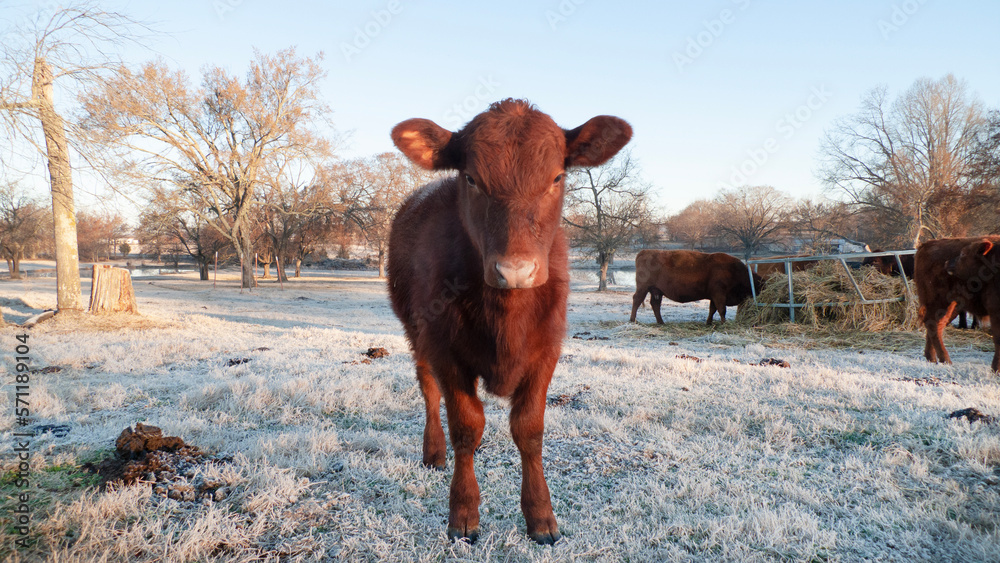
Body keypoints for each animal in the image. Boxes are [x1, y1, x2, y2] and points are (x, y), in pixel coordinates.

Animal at [387, 99, 631, 544]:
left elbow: (529, 430)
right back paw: (433, 452)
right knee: (429, 390)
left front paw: (541, 517)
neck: (506, 319)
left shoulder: (547, 349)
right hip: (414, 331)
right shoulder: (445, 349)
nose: (515, 270)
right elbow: (466, 426)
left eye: (557, 177)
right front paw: (463, 513)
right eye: (471, 178)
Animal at [629, 249, 763, 325]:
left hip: (656, 291)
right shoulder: (719, 295)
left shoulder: (714, 297)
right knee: (637, 300)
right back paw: (632, 320)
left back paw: (661, 322)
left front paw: (709, 323)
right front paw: (724, 323)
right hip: (643, 288)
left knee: (655, 304)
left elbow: (712, 309)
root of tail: (645, 251)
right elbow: (721, 310)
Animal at [915, 236, 1000, 370]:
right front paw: (995, 369)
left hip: (952, 306)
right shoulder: (995, 310)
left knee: (937, 324)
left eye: (963, 254)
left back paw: (932, 359)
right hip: (940, 302)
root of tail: (927, 244)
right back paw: (945, 360)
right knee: (934, 324)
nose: (947, 263)